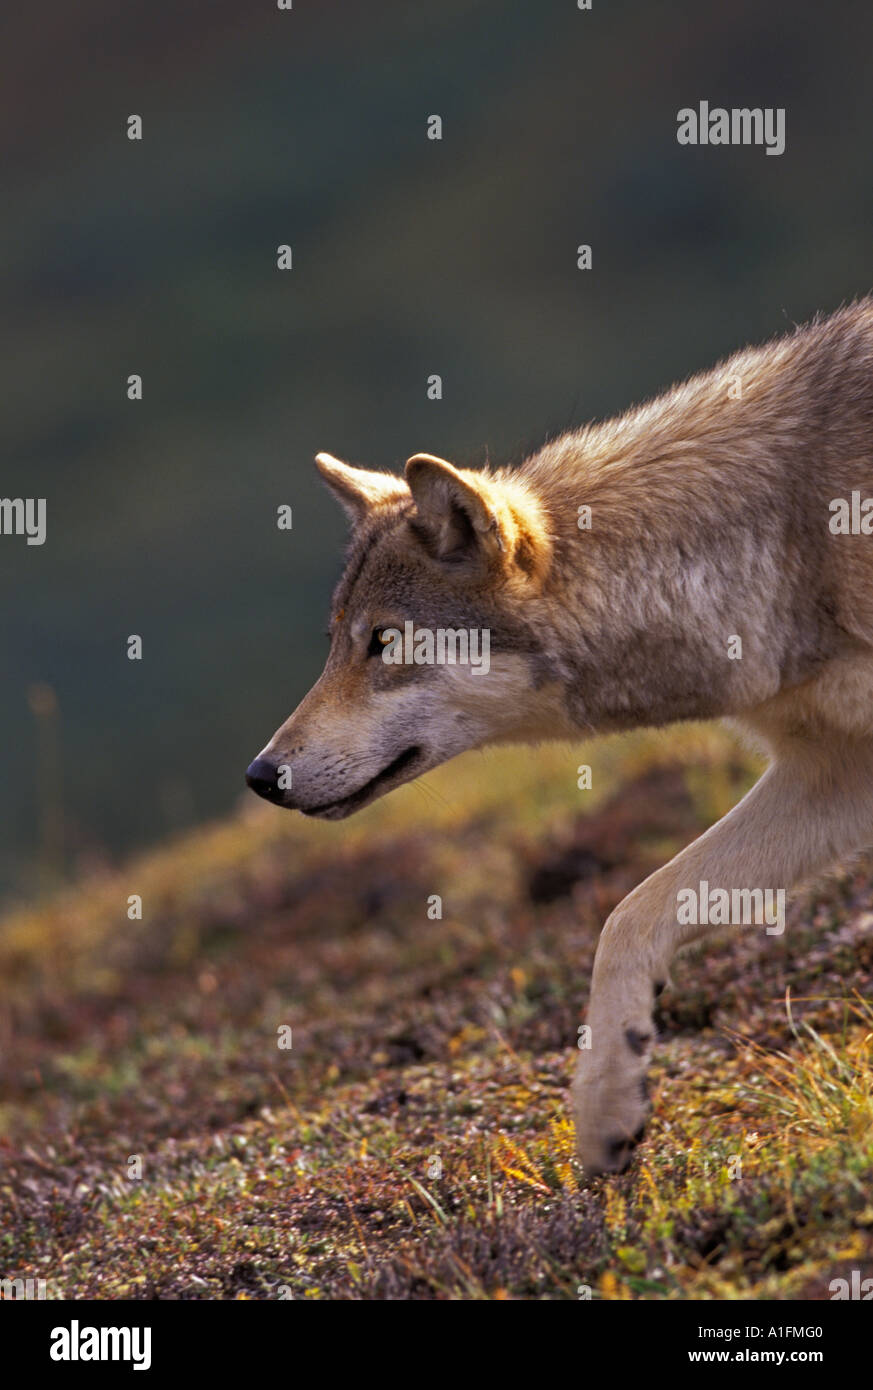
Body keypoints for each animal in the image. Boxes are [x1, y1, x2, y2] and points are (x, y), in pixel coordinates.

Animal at [246, 300, 873, 1174]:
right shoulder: (833, 772)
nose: (259, 774)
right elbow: (627, 916)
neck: (786, 535)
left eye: (384, 642)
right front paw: (607, 1105)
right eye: (336, 641)